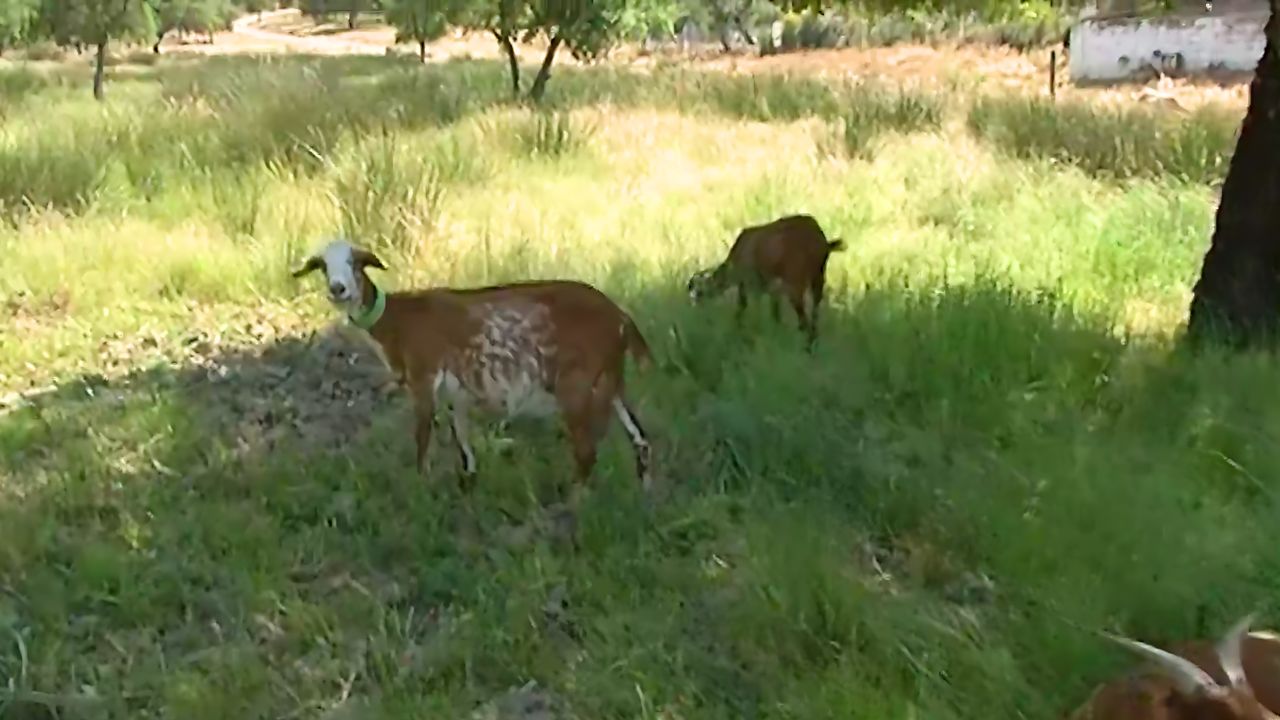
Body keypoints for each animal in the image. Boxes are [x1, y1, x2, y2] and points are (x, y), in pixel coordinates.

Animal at [292, 239, 655, 503]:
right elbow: (461, 435)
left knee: (587, 450)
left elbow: (422, 437)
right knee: (639, 438)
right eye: (322, 267)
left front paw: (422, 486)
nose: (338, 289)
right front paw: (468, 480)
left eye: (354, 263)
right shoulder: (458, 391)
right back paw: (644, 492)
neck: (396, 320)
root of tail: (620, 318)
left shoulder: (423, 377)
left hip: (575, 384)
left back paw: (574, 502)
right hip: (610, 379)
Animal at [686, 214, 844, 348]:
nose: (695, 313)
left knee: (803, 317)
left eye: (698, 295)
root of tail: (821, 241)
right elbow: (774, 314)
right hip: (818, 278)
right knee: (814, 312)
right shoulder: (772, 290)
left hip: (796, 282)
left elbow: (743, 306)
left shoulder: (751, 283)